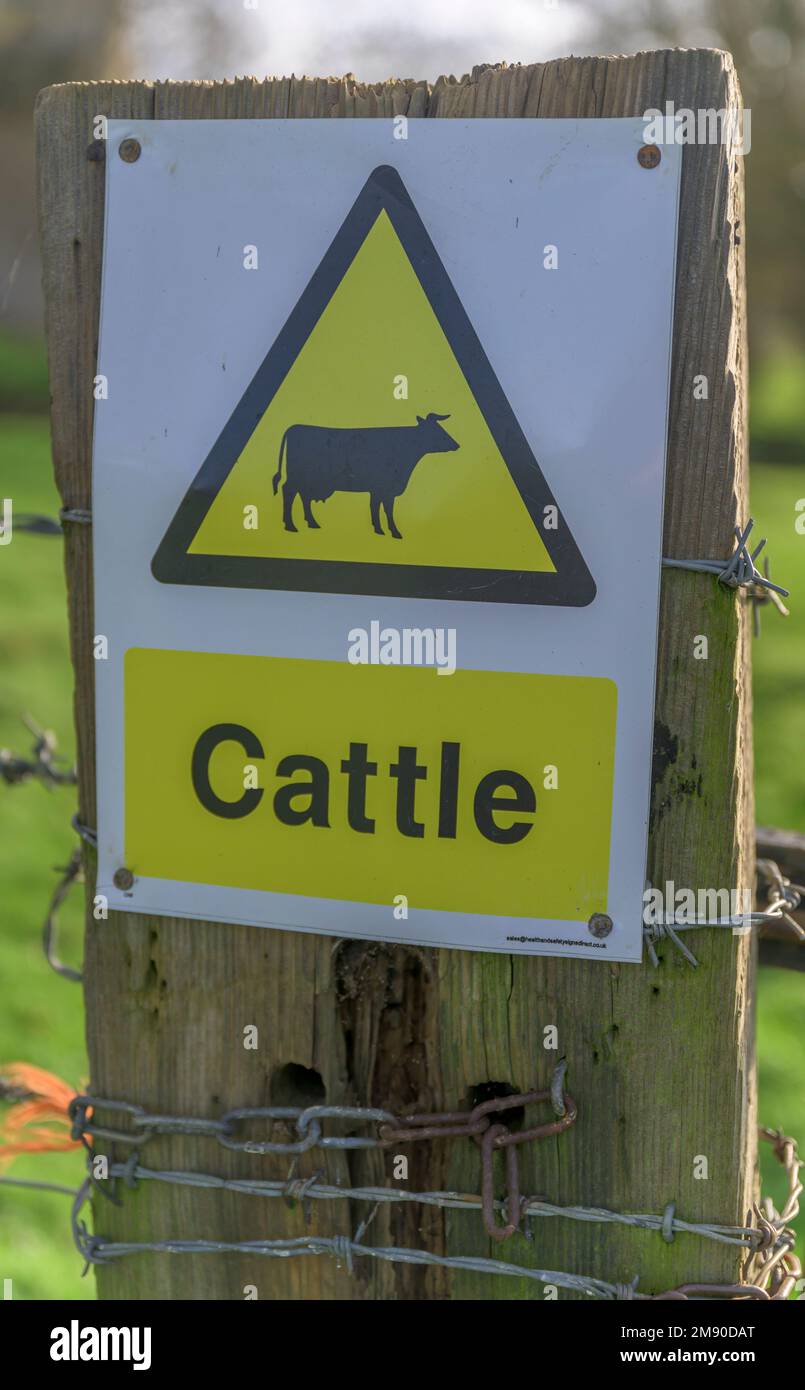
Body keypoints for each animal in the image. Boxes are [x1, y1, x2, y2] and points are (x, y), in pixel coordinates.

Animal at [271, 412, 459, 538]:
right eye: (436, 430)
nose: (456, 444)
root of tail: (295, 427)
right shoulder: (386, 489)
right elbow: (387, 509)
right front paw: (394, 532)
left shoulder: (378, 489)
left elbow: (375, 507)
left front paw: (379, 529)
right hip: (298, 477)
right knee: (289, 491)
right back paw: (290, 525)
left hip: (308, 480)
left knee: (302, 497)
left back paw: (311, 523)